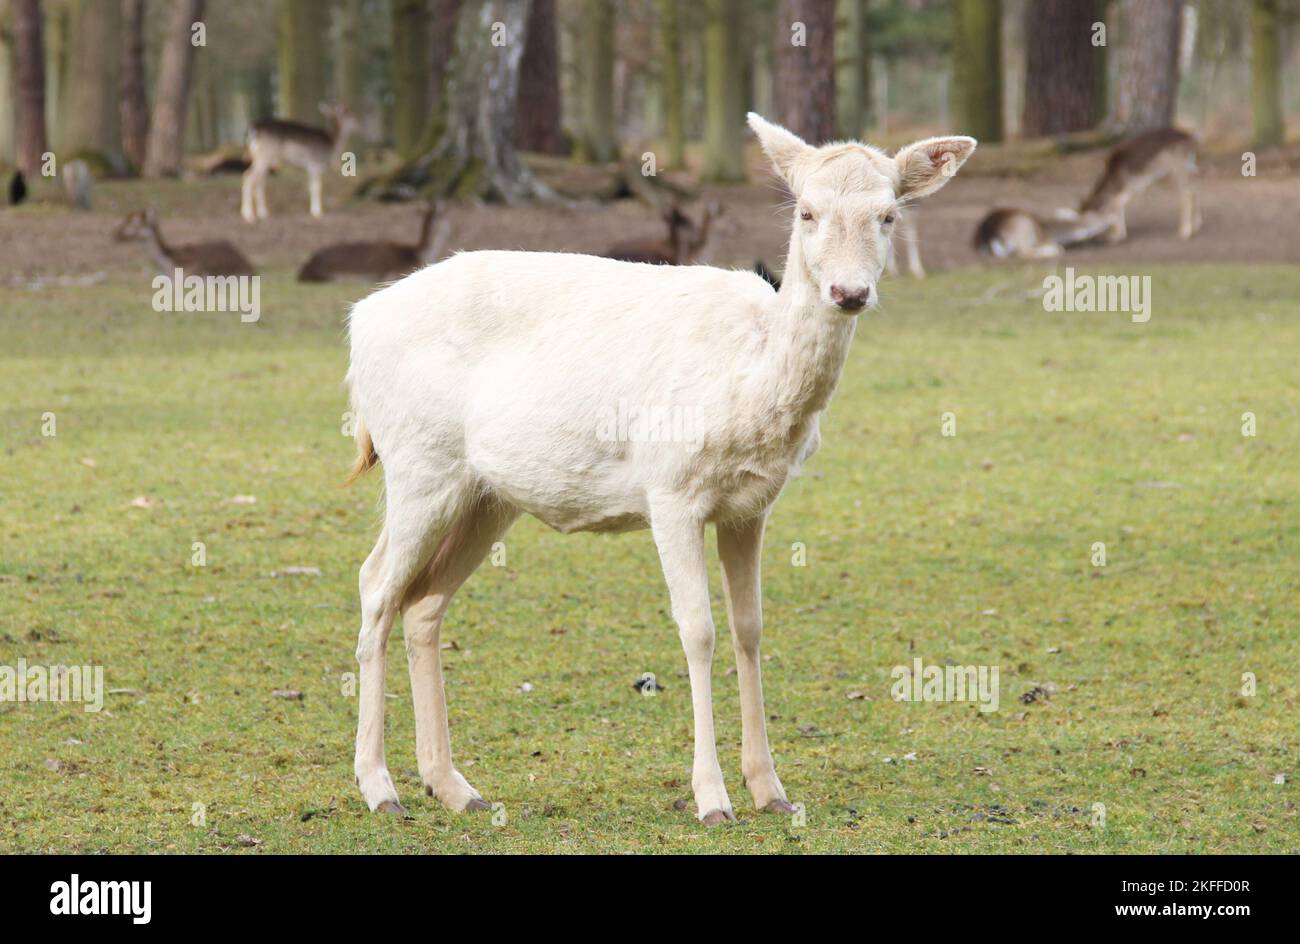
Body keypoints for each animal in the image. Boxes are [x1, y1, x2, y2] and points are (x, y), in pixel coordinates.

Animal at [342, 113, 975, 824]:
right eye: (806, 211)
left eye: (889, 214)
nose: (849, 292)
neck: (750, 380)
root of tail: (358, 321)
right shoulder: (671, 488)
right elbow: (698, 630)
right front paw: (712, 798)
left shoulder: (754, 505)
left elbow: (750, 629)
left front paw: (772, 790)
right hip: (418, 464)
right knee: (375, 585)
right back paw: (380, 787)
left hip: (486, 495)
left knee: (423, 604)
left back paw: (454, 787)